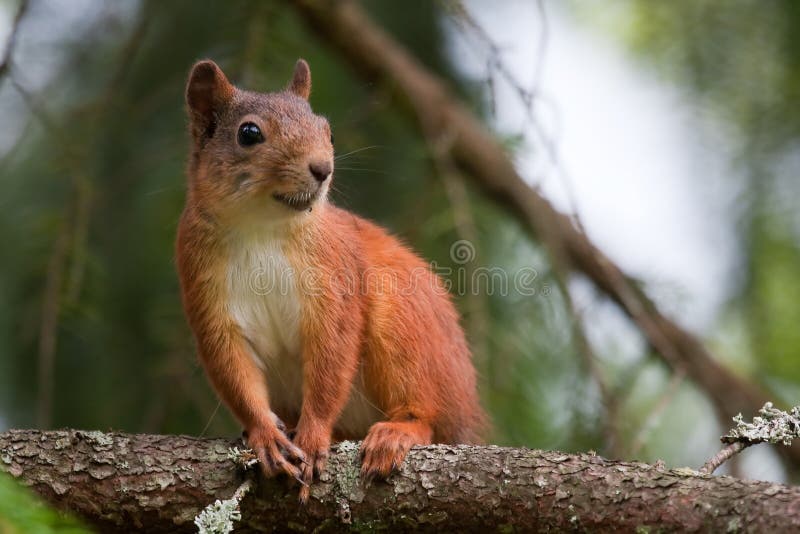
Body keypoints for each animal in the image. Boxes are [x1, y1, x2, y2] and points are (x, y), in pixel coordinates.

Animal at [176, 58, 485, 502]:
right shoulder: (205, 291)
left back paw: (396, 431)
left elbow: (330, 362)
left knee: (426, 415)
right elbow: (233, 371)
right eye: (248, 133)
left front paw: (312, 436)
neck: (262, 227)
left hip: (405, 330)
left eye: (329, 132)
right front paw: (265, 435)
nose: (322, 169)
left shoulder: (334, 282)